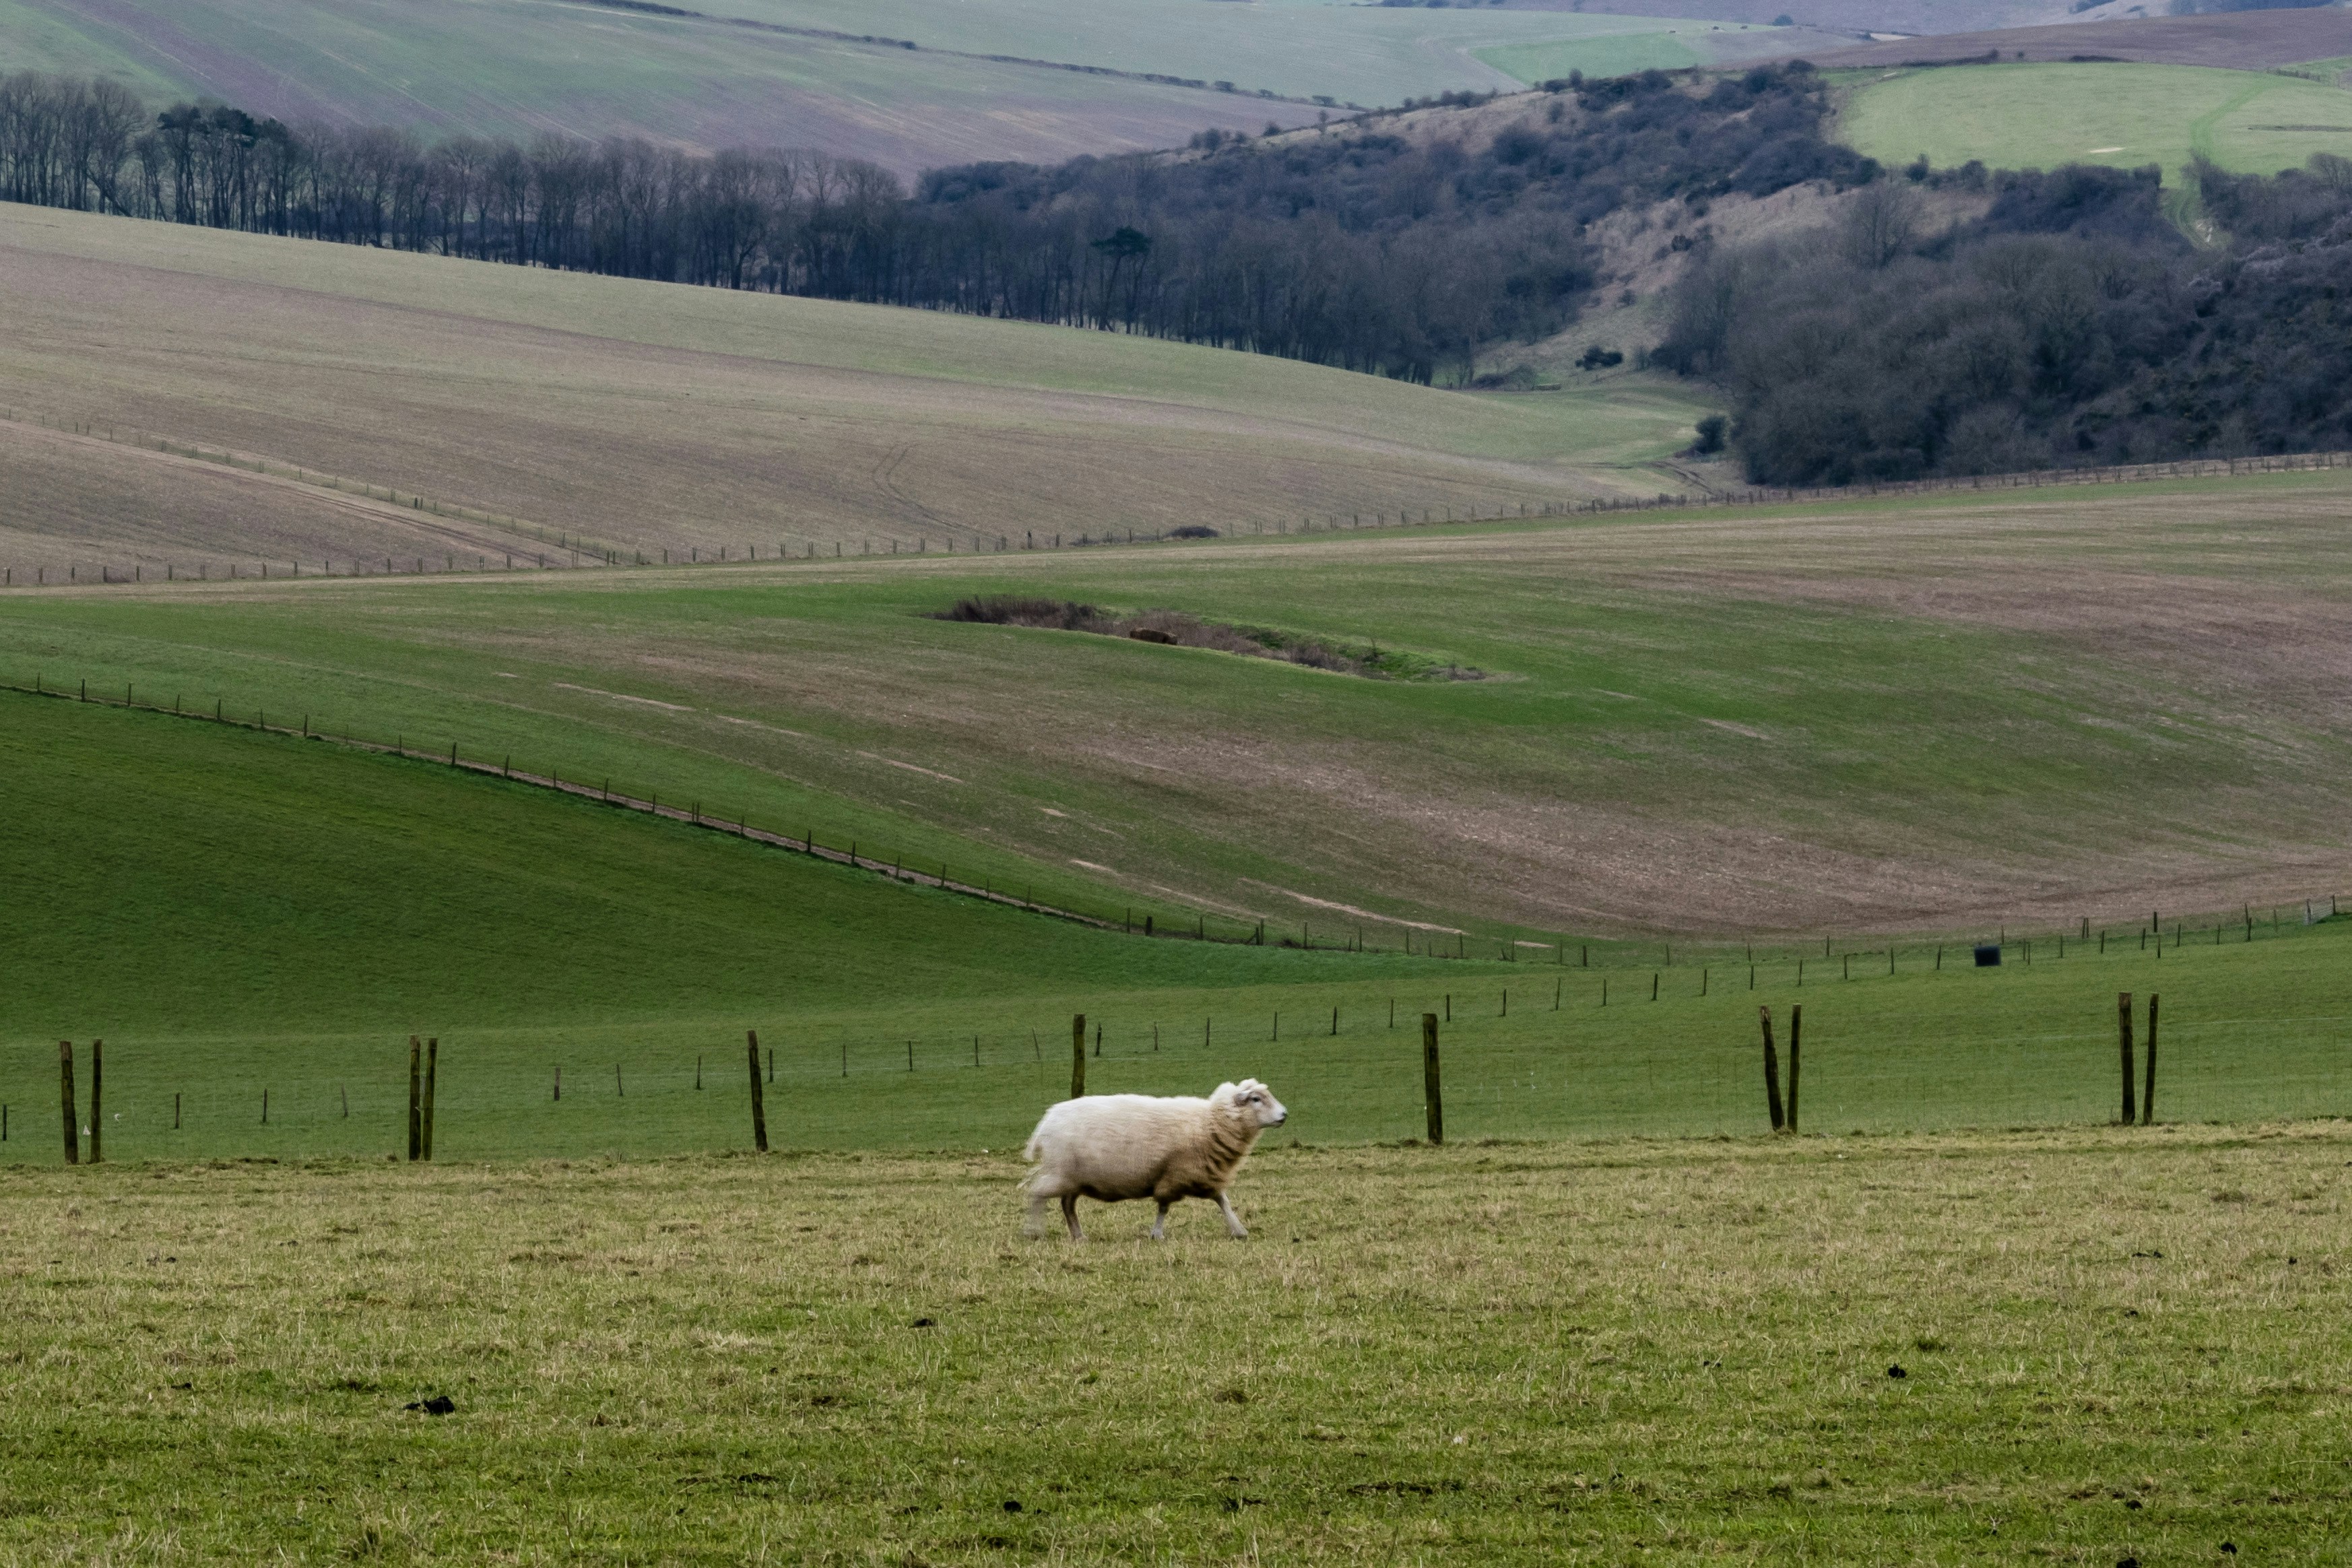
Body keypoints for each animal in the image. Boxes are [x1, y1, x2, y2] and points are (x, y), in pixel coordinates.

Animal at [1022, 1079, 1287, 1241]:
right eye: (1256, 1099)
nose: (1284, 1115)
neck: (1210, 1121)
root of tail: (1047, 1120)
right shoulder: (1174, 1175)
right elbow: (1164, 1207)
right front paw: (1157, 1234)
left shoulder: (1203, 1175)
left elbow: (1224, 1201)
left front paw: (1239, 1230)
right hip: (1060, 1171)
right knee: (1037, 1193)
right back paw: (1035, 1232)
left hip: (1073, 1177)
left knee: (1067, 1205)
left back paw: (1079, 1236)